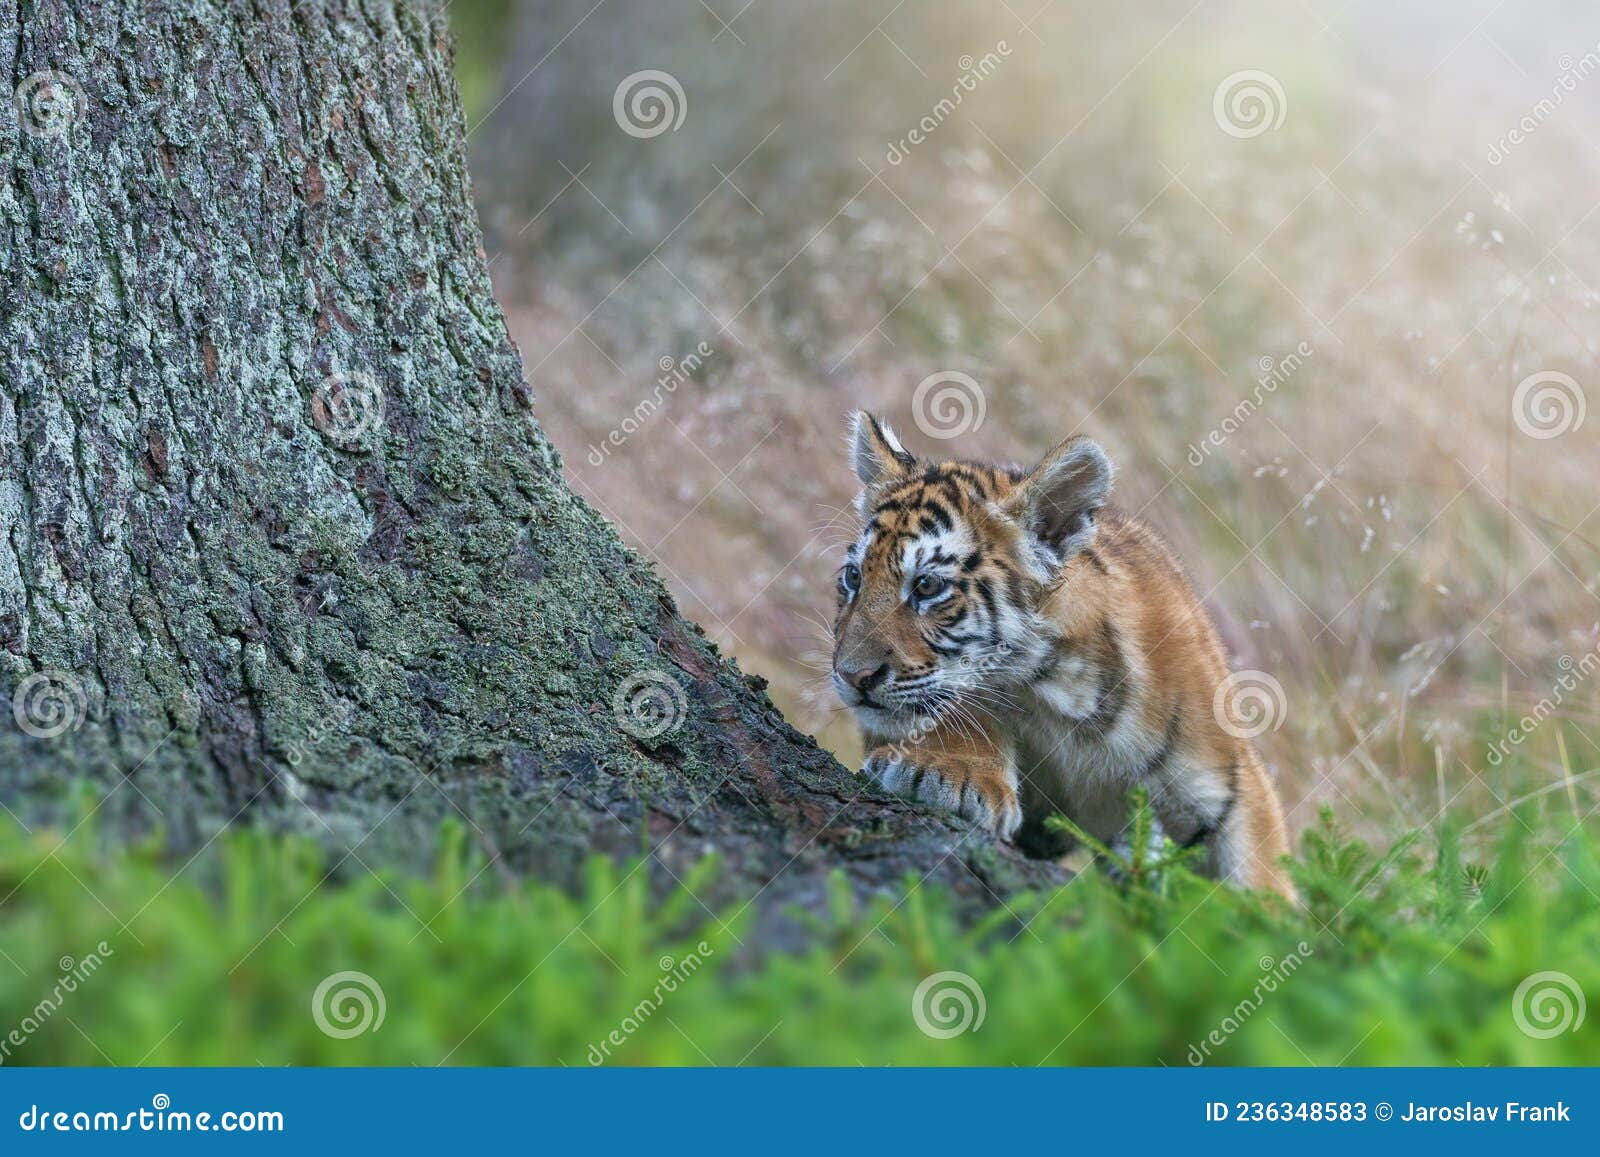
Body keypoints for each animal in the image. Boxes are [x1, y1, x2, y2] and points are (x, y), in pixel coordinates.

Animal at [830, 411, 1296, 900]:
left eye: (926, 586)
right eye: (854, 577)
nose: (852, 675)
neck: (1055, 690)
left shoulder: (1233, 781)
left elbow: (1262, 882)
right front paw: (947, 772)